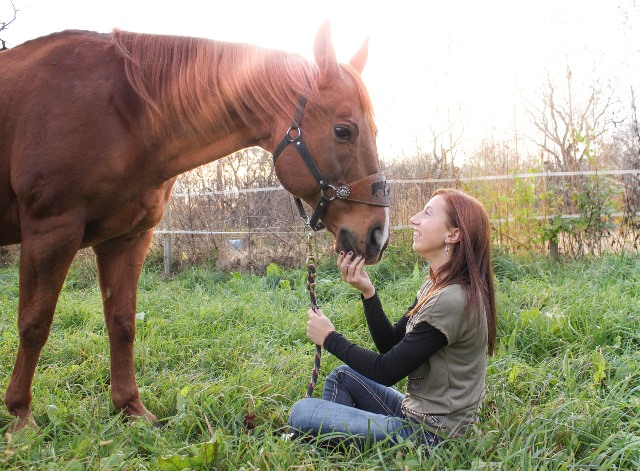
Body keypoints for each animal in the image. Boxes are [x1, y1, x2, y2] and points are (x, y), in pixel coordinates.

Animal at [0, 21, 390, 430]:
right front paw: (21, 418)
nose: (378, 234)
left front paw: (131, 409)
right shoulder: (50, 232)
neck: (125, 118)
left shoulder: (126, 239)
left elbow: (122, 323)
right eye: (344, 131)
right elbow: (34, 325)